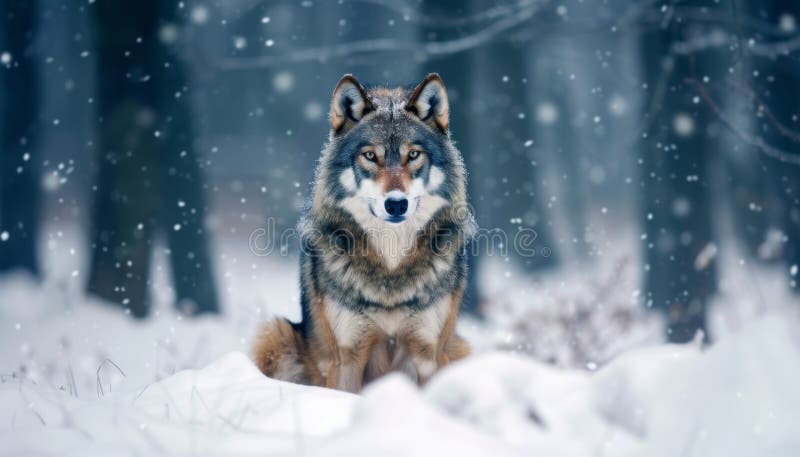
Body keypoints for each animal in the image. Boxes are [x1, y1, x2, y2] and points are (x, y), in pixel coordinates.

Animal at [252, 73, 475, 392]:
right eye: (370, 155)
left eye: (413, 155)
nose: (396, 203)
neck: (391, 270)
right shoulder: (347, 358)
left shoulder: (429, 354)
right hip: (275, 335)